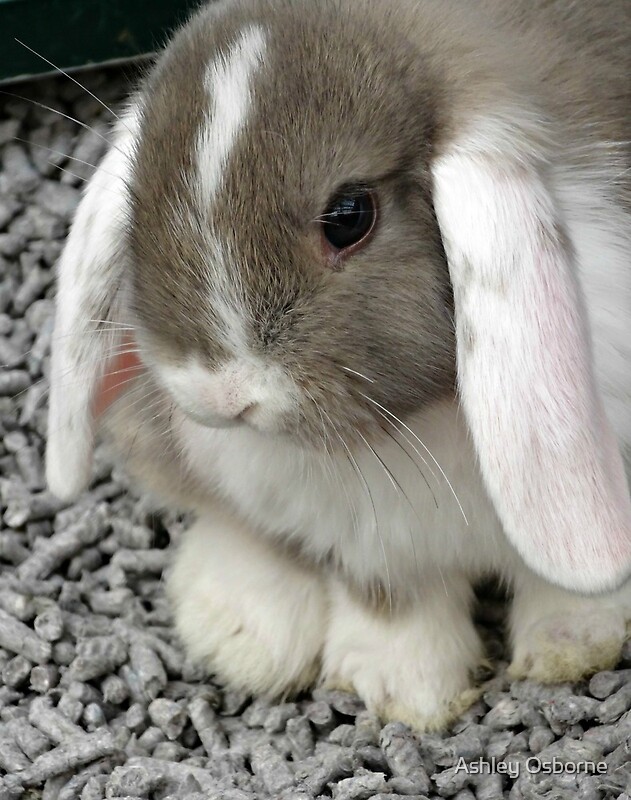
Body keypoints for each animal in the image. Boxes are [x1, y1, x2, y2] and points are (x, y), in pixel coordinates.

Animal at [46, 0, 631, 730]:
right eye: (137, 202)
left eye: (349, 215)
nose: (218, 397)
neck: (410, 422)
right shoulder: (370, 546)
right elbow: (390, 600)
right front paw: (408, 691)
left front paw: (573, 644)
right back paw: (242, 634)